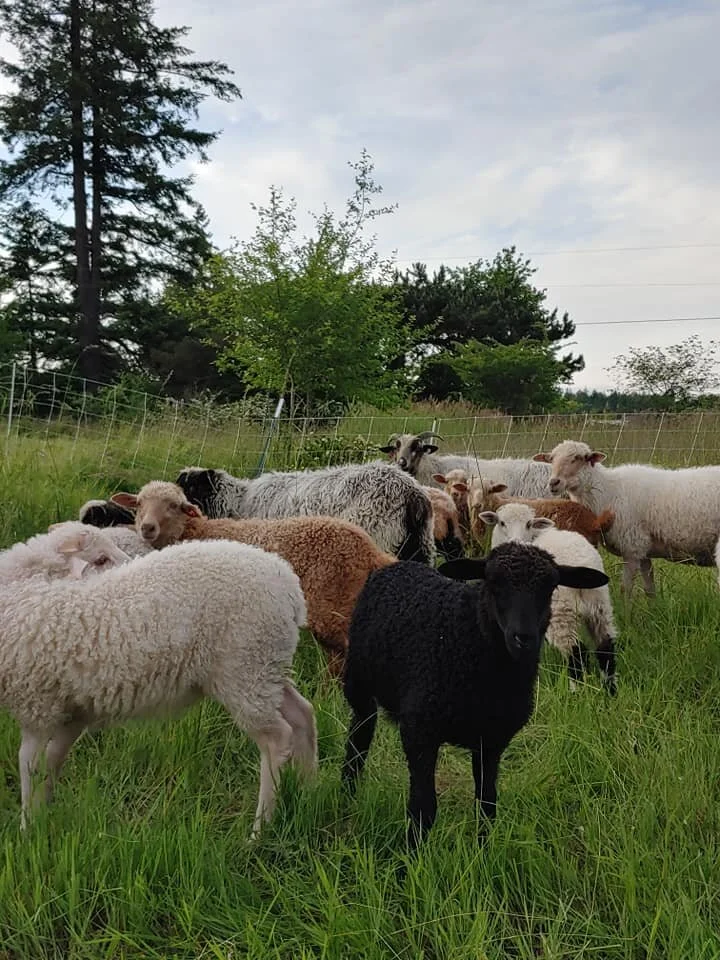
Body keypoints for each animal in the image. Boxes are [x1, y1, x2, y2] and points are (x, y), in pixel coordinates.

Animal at [0, 538, 317, 835]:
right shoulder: (73, 710)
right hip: (266, 667)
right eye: (101, 558)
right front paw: (42, 814)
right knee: (302, 715)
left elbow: (29, 764)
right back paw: (308, 792)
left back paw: (261, 829)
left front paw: (27, 828)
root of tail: (289, 587)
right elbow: (52, 760)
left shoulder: (36, 706)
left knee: (276, 738)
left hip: (244, 669)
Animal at [111, 481, 398, 678]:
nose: (147, 528)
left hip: (332, 606)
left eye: (173, 506)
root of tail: (372, 552)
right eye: (139, 504)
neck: (198, 531)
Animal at [341, 542, 609, 849]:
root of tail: (400, 565)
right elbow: (423, 808)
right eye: (492, 582)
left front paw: (484, 849)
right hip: (359, 685)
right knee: (358, 741)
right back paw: (347, 796)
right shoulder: (419, 731)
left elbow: (487, 803)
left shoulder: (492, 740)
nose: (523, 637)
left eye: (551, 586)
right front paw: (412, 855)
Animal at [480, 502, 618, 694]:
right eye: (502, 522)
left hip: (562, 611)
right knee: (605, 647)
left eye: (529, 524)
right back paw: (610, 691)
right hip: (600, 605)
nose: (516, 542)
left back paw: (575, 690)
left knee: (577, 652)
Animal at [534, 439, 720, 596]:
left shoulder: (632, 547)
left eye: (579, 458)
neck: (608, 490)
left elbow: (625, 590)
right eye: (551, 459)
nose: (554, 483)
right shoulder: (644, 549)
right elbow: (650, 590)